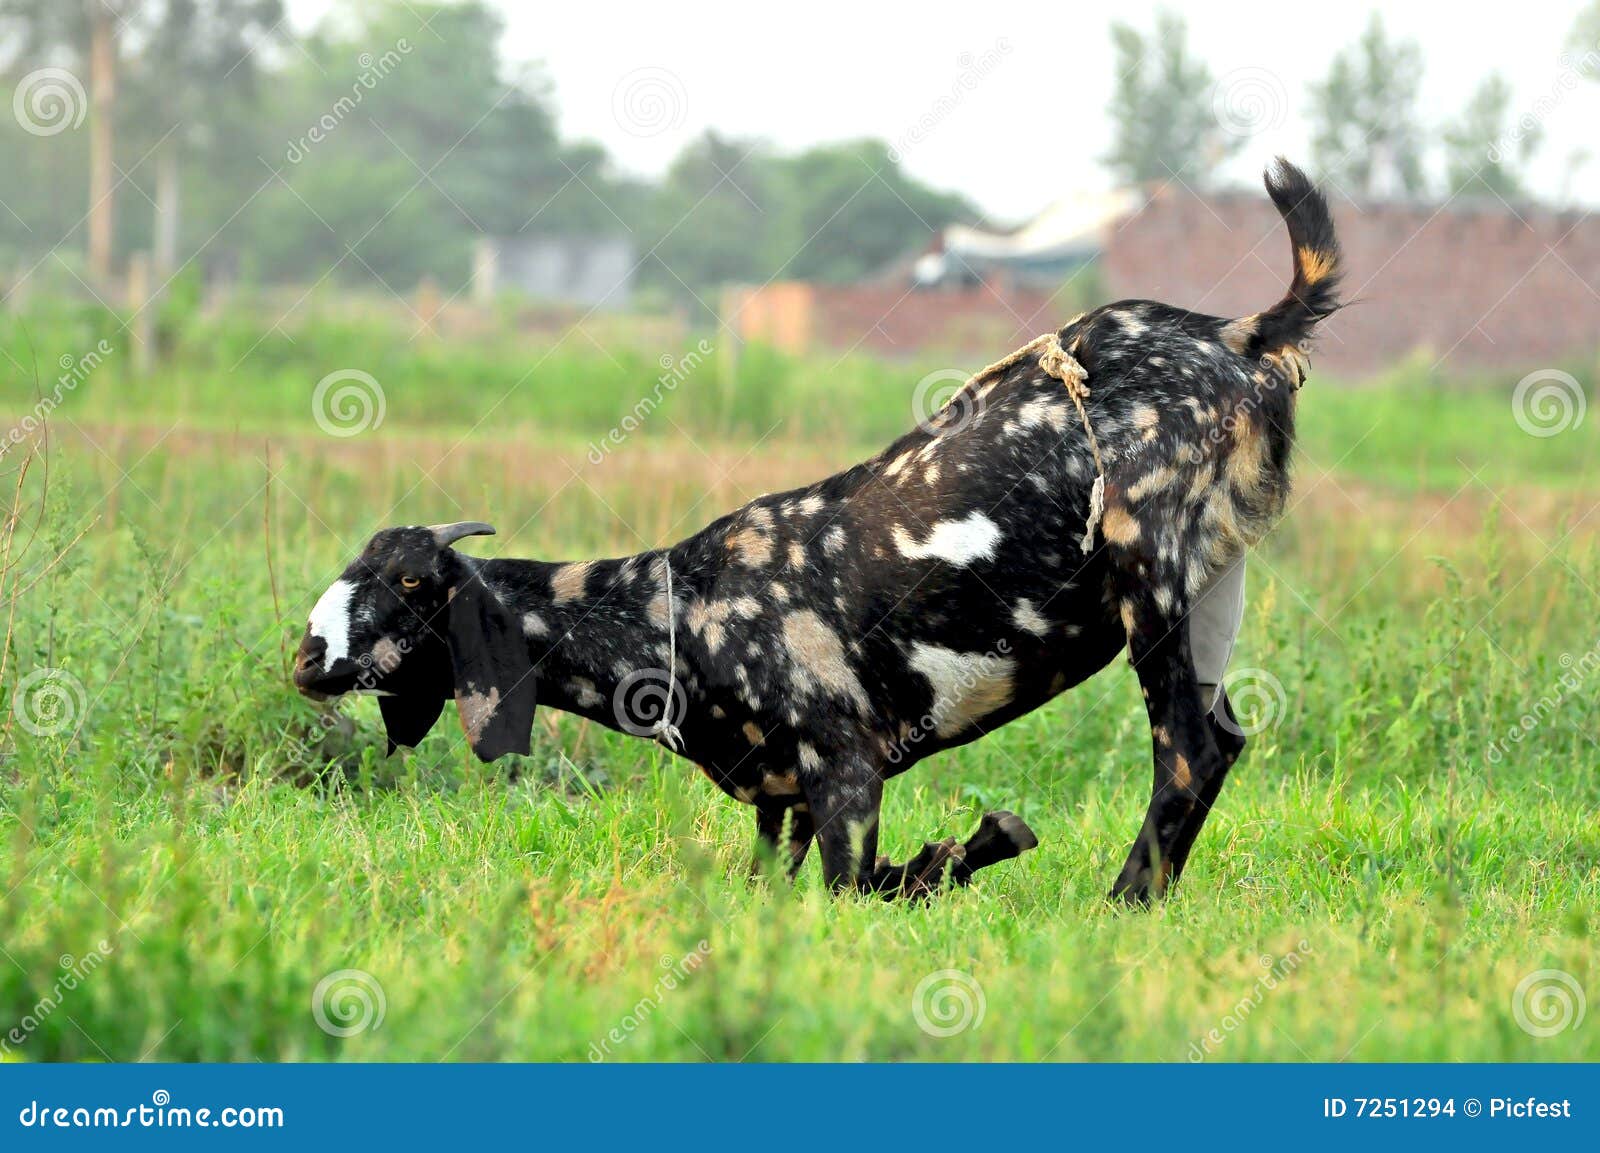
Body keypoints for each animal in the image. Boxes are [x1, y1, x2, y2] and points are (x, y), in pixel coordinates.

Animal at [293, 159, 1342, 903]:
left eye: (414, 583)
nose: (304, 658)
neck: (675, 609)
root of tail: (1245, 334)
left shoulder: (845, 768)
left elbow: (863, 887)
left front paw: (975, 845)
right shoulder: (780, 804)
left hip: (1146, 564)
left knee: (1187, 749)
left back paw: (1115, 906)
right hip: (1209, 581)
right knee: (1221, 740)